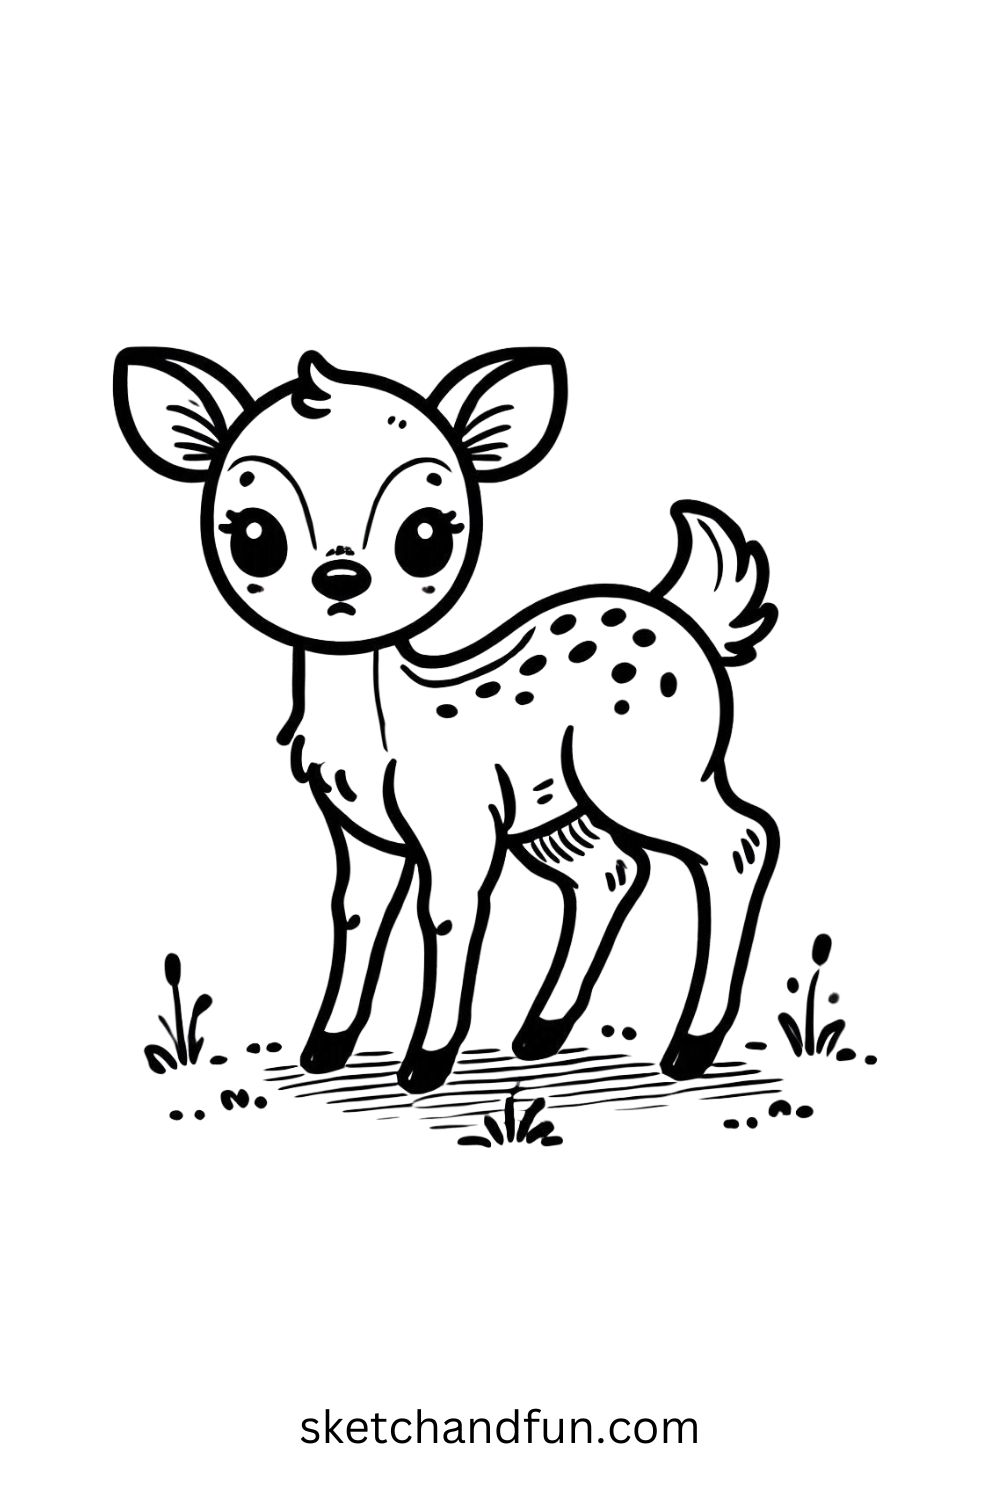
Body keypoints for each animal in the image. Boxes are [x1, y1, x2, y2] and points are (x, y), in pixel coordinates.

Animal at [113, 345, 779, 1095]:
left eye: (426, 534)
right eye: (254, 534)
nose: (340, 580)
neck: (382, 732)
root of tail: (682, 616)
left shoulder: (459, 825)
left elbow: (446, 915)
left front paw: (424, 1066)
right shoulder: (363, 834)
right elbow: (354, 911)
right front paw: (327, 1048)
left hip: (647, 776)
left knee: (740, 841)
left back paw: (688, 1047)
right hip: (559, 810)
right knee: (610, 872)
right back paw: (540, 1032)